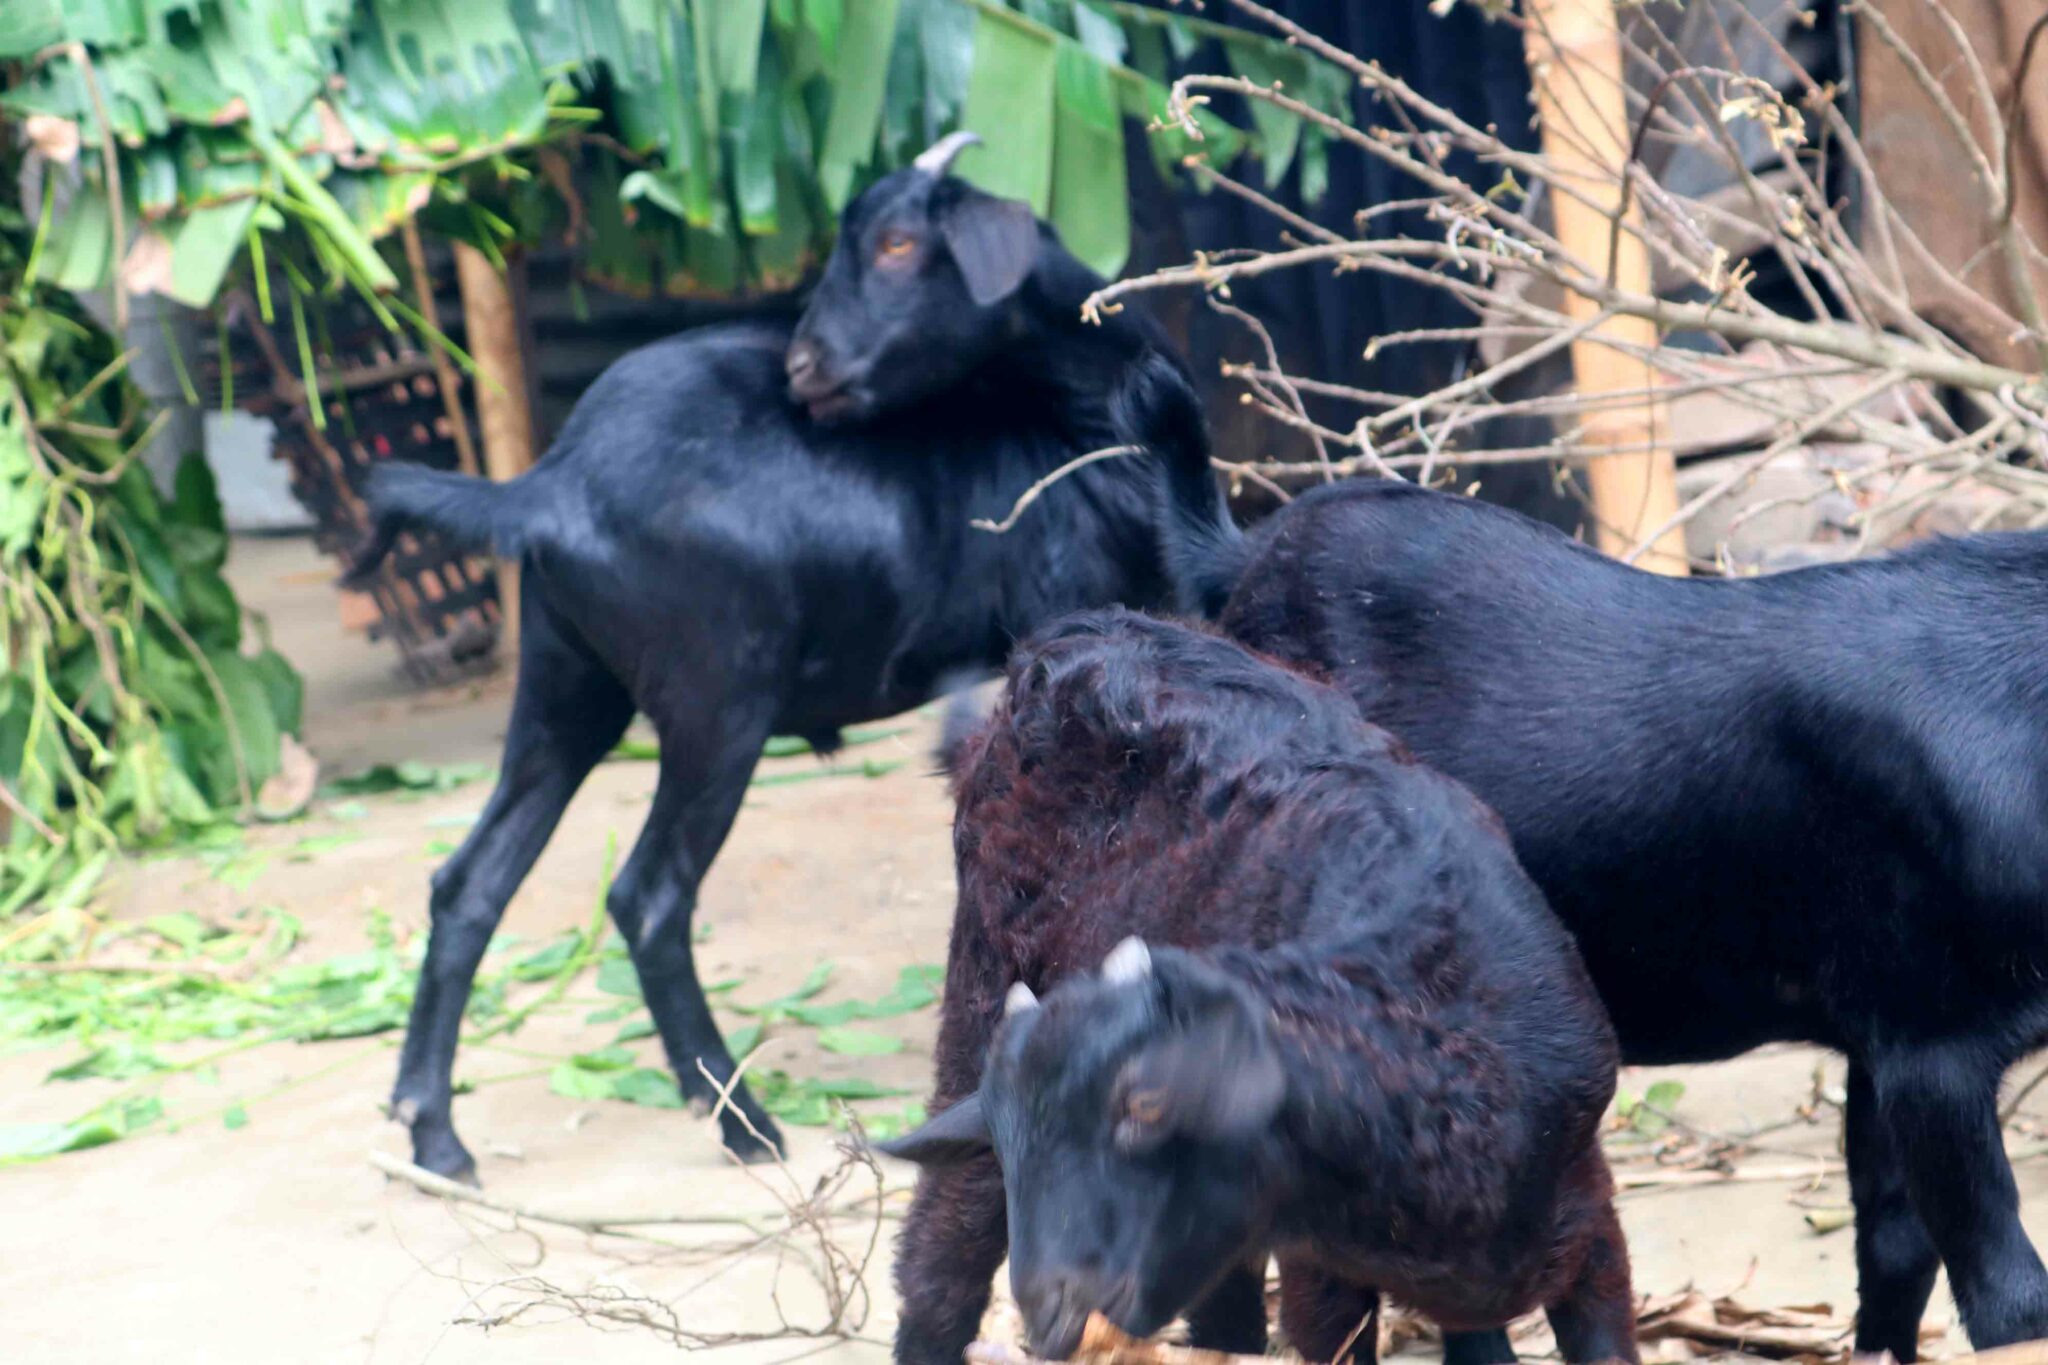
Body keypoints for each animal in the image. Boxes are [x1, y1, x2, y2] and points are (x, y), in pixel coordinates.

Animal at [345, 133, 1232, 1178]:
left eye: (897, 242)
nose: (806, 366)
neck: (1072, 422)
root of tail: (547, 484)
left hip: (565, 683)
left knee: (468, 883)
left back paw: (433, 1129)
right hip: (714, 702)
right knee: (647, 895)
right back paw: (742, 1121)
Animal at [880, 609, 1635, 1365]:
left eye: (1141, 1118)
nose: (1050, 1310)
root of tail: (1068, 640)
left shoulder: (1589, 1222)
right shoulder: (1320, 1275)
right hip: (979, 976)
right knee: (945, 1239)